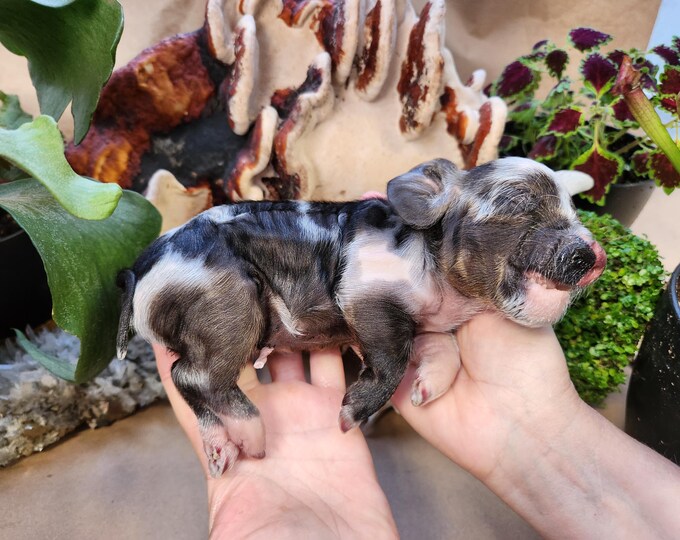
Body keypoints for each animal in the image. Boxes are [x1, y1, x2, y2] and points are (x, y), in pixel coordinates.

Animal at [116, 157, 606, 477]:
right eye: (518, 204)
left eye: (573, 211)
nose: (594, 255)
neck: (442, 286)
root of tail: (138, 272)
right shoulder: (363, 290)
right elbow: (392, 359)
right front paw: (348, 419)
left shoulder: (425, 324)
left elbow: (444, 351)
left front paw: (424, 395)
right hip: (228, 307)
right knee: (195, 375)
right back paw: (254, 442)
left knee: (183, 376)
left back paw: (223, 455)